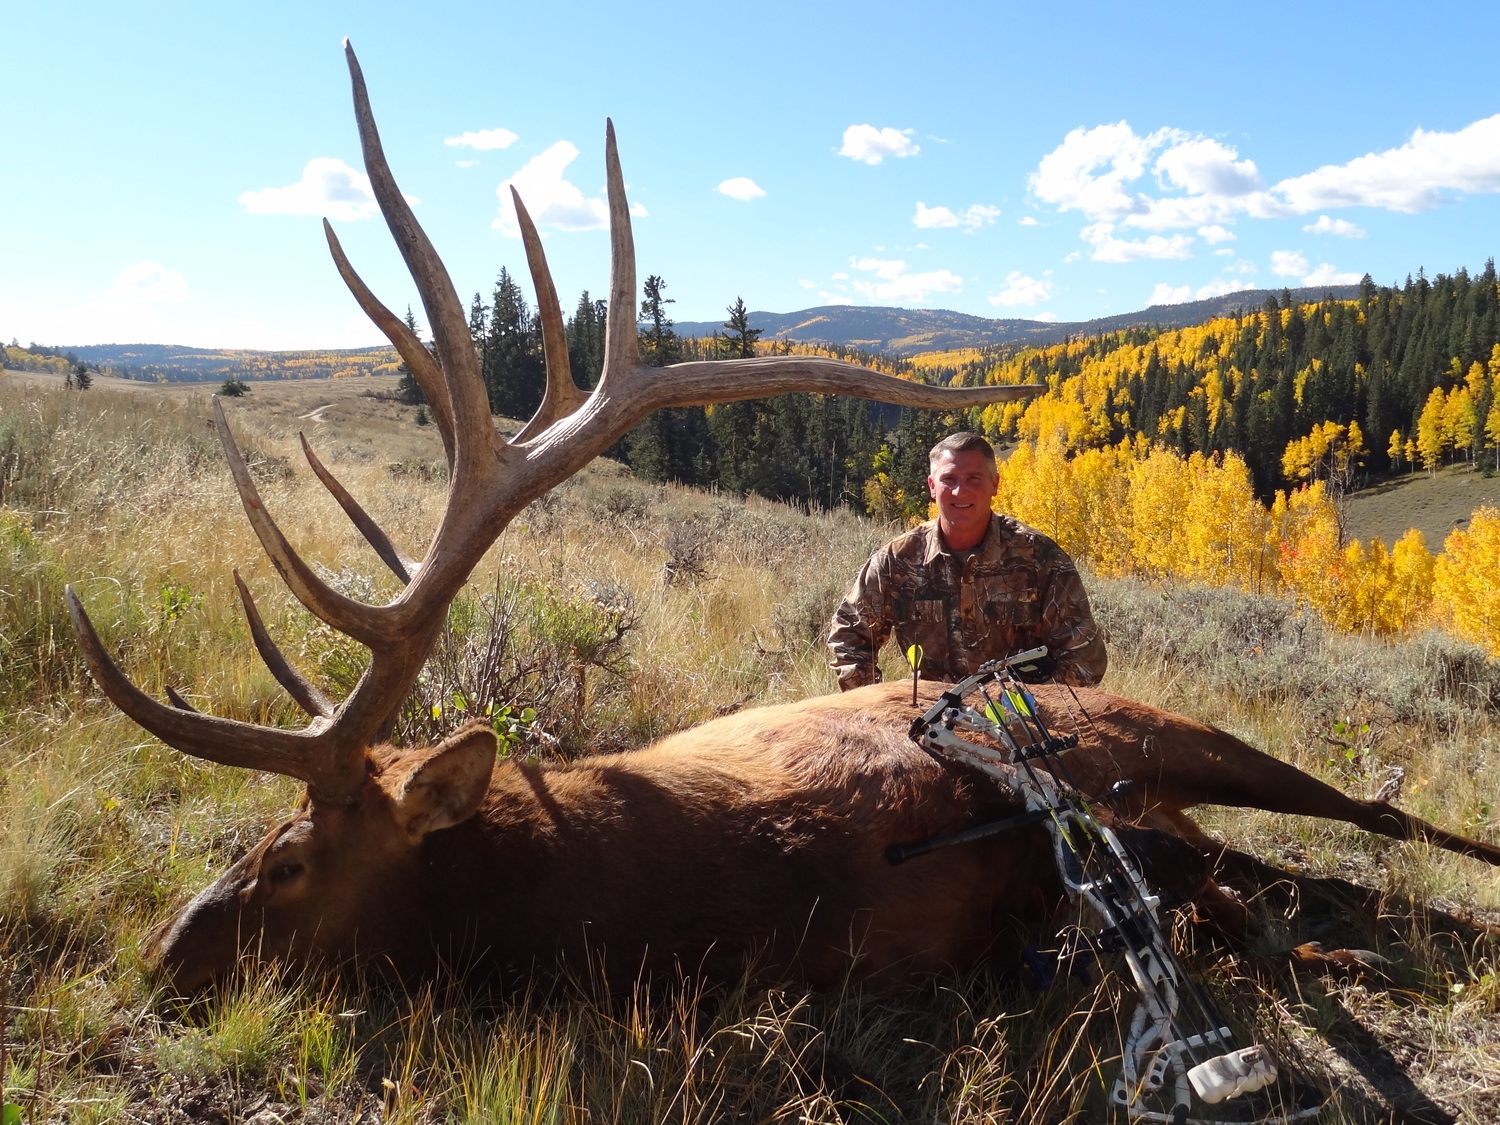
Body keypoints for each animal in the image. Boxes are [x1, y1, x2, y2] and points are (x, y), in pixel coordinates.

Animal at [67, 46, 1500, 996]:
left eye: (287, 860)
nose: (165, 951)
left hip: (1162, 723)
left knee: (1380, 825)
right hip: (1174, 805)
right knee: (1302, 879)